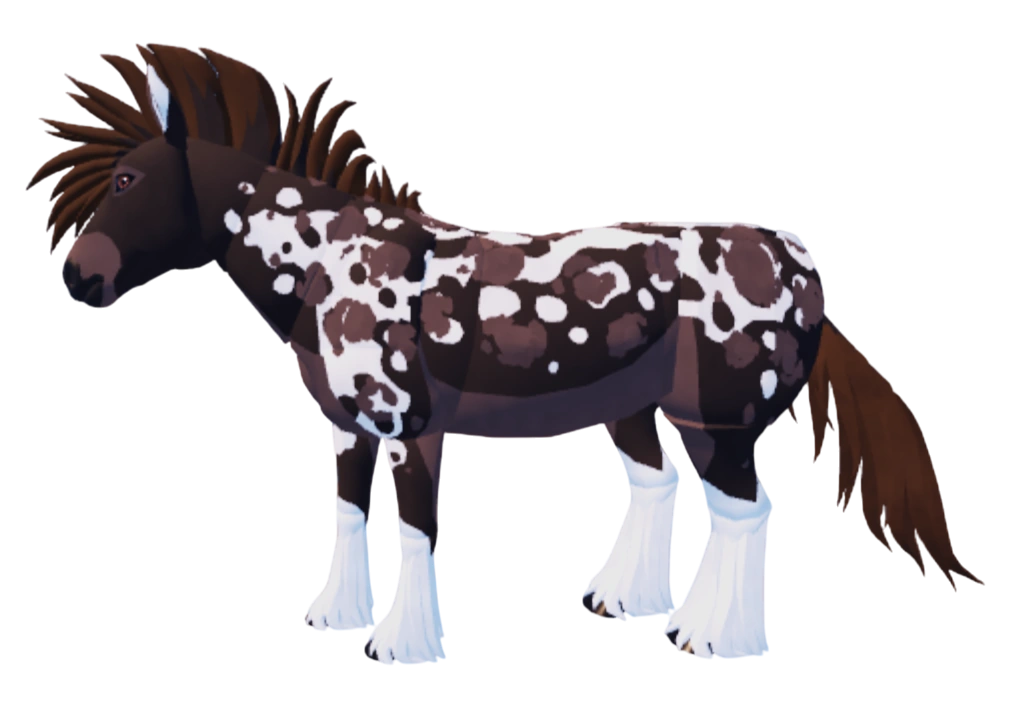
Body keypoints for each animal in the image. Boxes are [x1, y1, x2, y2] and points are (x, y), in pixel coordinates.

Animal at [29, 43, 984, 665]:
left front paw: (401, 643)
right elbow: (347, 514)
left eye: (128, 180)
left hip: (716, 420)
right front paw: (334, 616)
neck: (335, 258)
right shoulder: (347, 428)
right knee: (658, 484)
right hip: (634, 412)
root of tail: (794, 258)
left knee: (744, 509)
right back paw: (625, 599)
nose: (78, 274)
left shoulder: (412, 428)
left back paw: (712, 635)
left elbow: (415, 529)